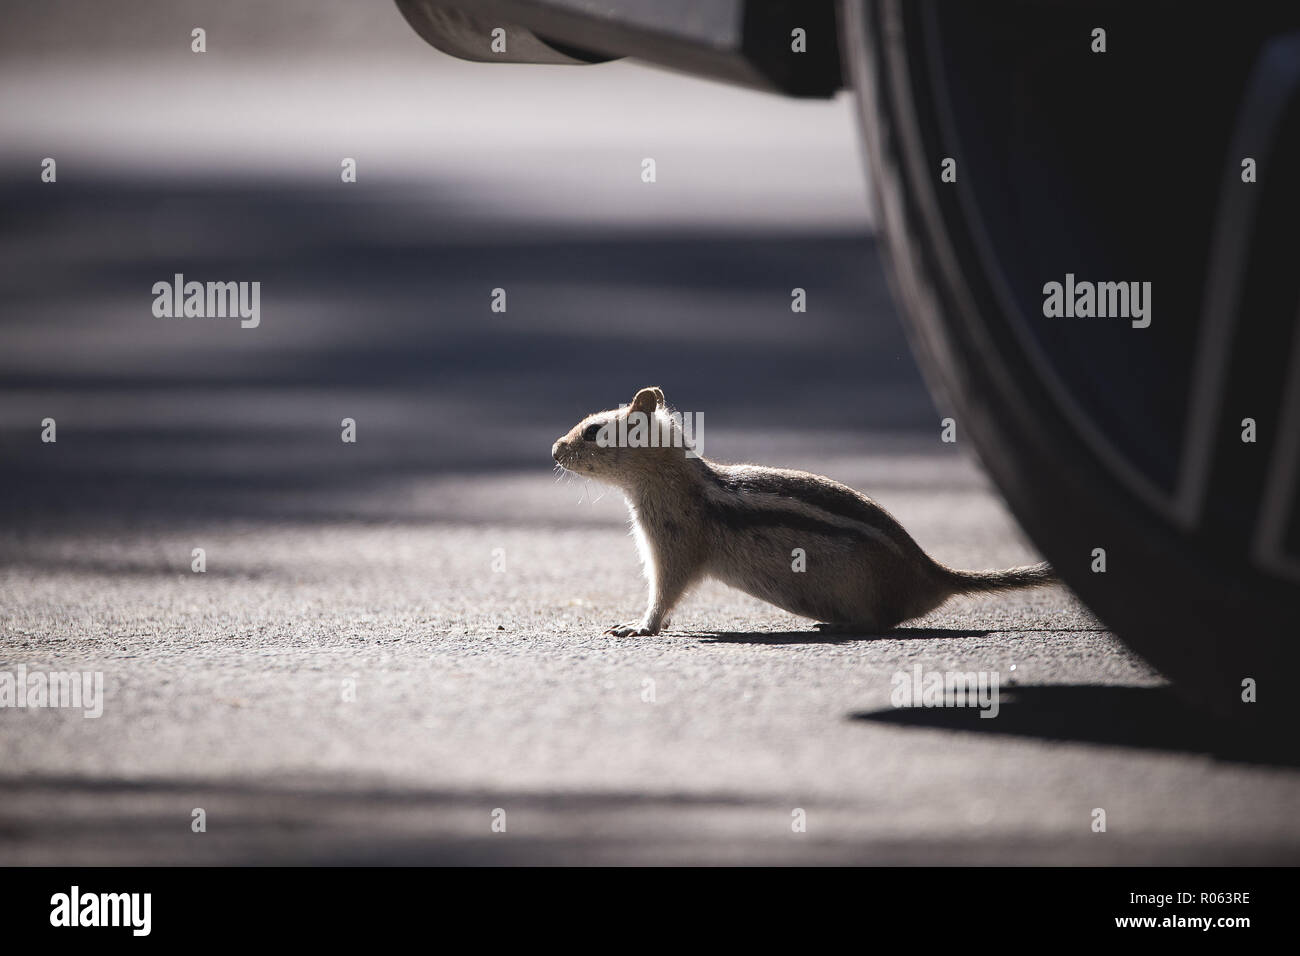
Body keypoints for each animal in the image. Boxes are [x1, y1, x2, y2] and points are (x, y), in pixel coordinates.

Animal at [553, 387, 1058, 636]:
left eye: (594, 431)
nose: (555, 449)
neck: (676, 478)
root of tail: (931, 572)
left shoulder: (674, 546)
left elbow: (665, 591)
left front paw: (640, 627)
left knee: (879, 620)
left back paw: (838, 625)